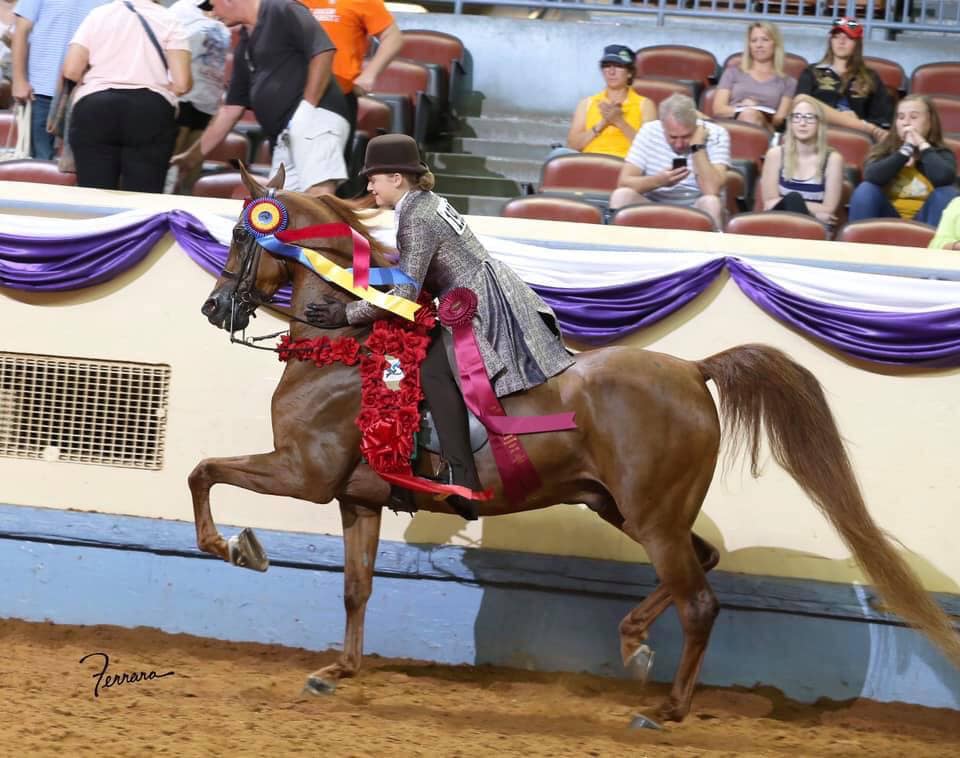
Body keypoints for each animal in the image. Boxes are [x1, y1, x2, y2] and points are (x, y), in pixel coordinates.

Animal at [190, 163, 960, 726]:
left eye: (242, 236)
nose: (214, 309)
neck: (340, 353)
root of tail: (693, 369)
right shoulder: (357, 499)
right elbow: (355, 588)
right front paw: (339, 670)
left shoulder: (304, 472)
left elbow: (204, 472)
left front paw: (234, 547)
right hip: (629, 509)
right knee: (702, 567)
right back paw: (635, 643)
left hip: (650, 516)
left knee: (701, 602)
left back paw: (667, 709)